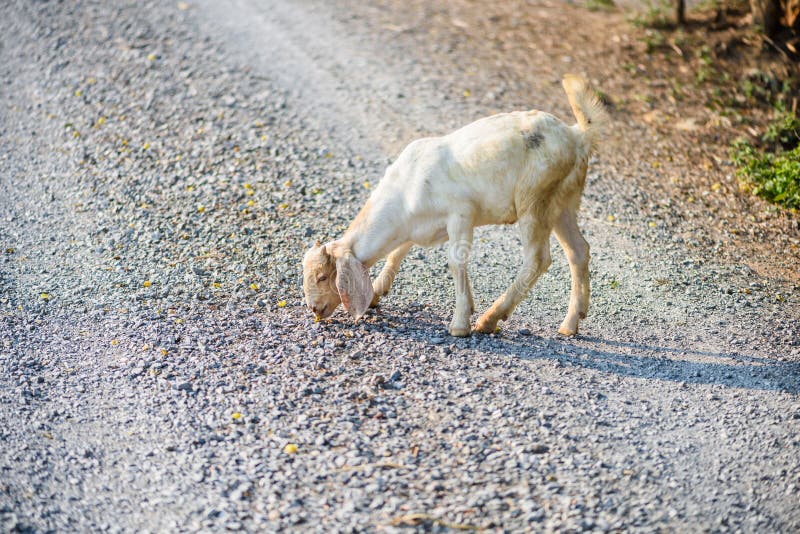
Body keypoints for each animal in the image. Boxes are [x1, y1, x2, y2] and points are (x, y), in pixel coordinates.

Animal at [303, 75, 608, 337]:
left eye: (322, 277)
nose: (314, 309)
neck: (404, 196)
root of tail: (577, 136)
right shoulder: (417, 228)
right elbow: (397, 254)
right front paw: (377, 292)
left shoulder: (461, 215)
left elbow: (456, 261)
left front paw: (460, 323)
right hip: (563, 201)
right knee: (578, 251)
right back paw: (571, 323)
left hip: (534, 200)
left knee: (538, 258)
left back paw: (489, 319)